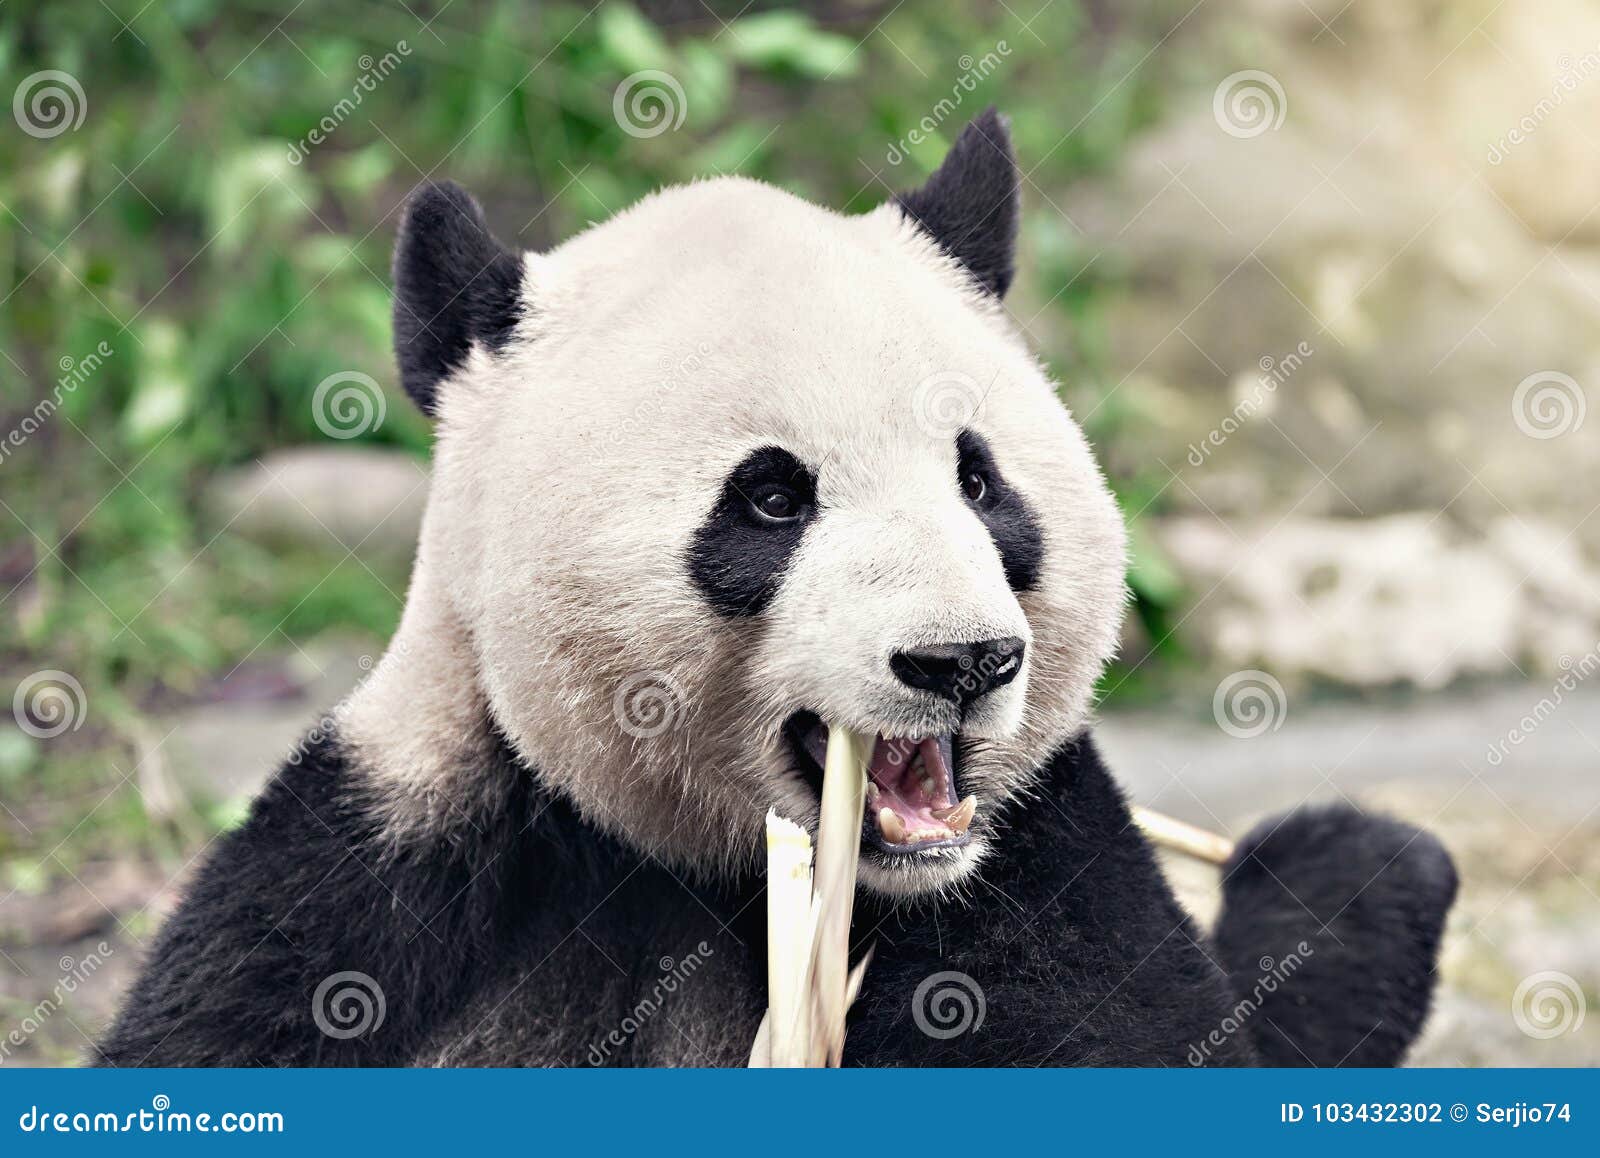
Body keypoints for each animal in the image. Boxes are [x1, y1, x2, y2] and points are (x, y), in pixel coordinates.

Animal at [97, 110, 1457, 1067]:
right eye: (768, 501)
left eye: (979, 482)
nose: (960, 663)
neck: (725, 873)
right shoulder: (391, 866)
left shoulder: (1040, 872)